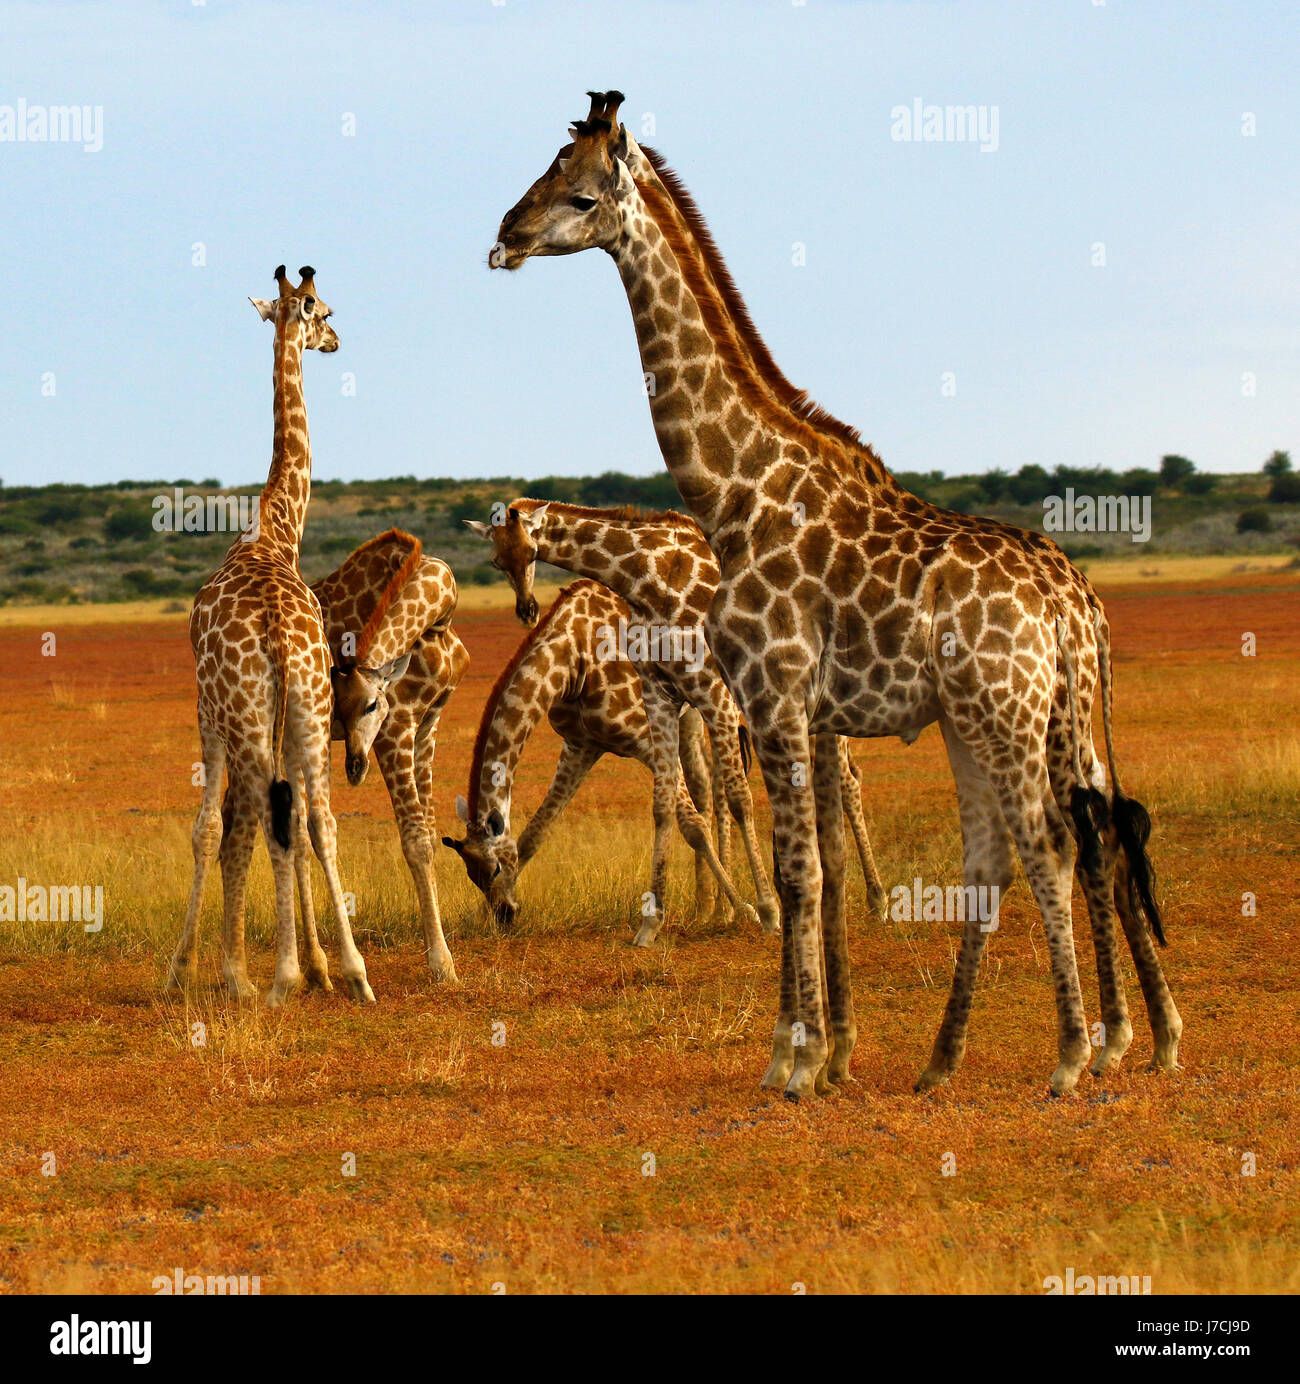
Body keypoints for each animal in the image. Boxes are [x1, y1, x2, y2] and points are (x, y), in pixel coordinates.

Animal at [167, 265, 375, 1008]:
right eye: (325, 312)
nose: (338, 341)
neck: (273, 531)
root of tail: (279, 634)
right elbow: (278, 826)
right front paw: (317, 965)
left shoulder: (208, 707)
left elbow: (213, 827)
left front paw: (195, 968)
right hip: (306, 711)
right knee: (314, 820)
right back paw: (351, 973)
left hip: (255, 715)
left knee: (262, 816)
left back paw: (270, 977)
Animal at [308, 528, 467, 984]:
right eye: (339, 709)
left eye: (370, 705)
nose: (354, 767)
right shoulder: (396, 730)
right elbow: (415, 841)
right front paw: (442, 963)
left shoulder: (429, 723)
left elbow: (429, 832)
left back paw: (314, 968)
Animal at [442, 579, 757, 943]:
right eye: (471, 875)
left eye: (494, 869)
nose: (505, 915)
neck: (572, 661)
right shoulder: (581, 745)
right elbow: (534, 833)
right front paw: (472, 918)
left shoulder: (645, 739)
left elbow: (693, 825)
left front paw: (745, 909)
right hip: (687, 715)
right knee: (704, 785)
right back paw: (705, 908)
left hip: (720, 697)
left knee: (721, 786)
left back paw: (726, 910)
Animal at [491, 93, 1182, 1098]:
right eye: (542, 169)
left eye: (580, 194)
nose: (503, 236)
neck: (736, 494)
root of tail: (1069, 603)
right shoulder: (809, 713)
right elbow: (820, 867)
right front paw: (829, 1052)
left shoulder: (774, 695)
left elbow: (799, 876)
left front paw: (791, 1057)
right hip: (1019, 719)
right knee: (1031, 848)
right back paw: (985, 1054)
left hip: (1009, 716)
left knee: (1054, 844)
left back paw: (1073, 1054)